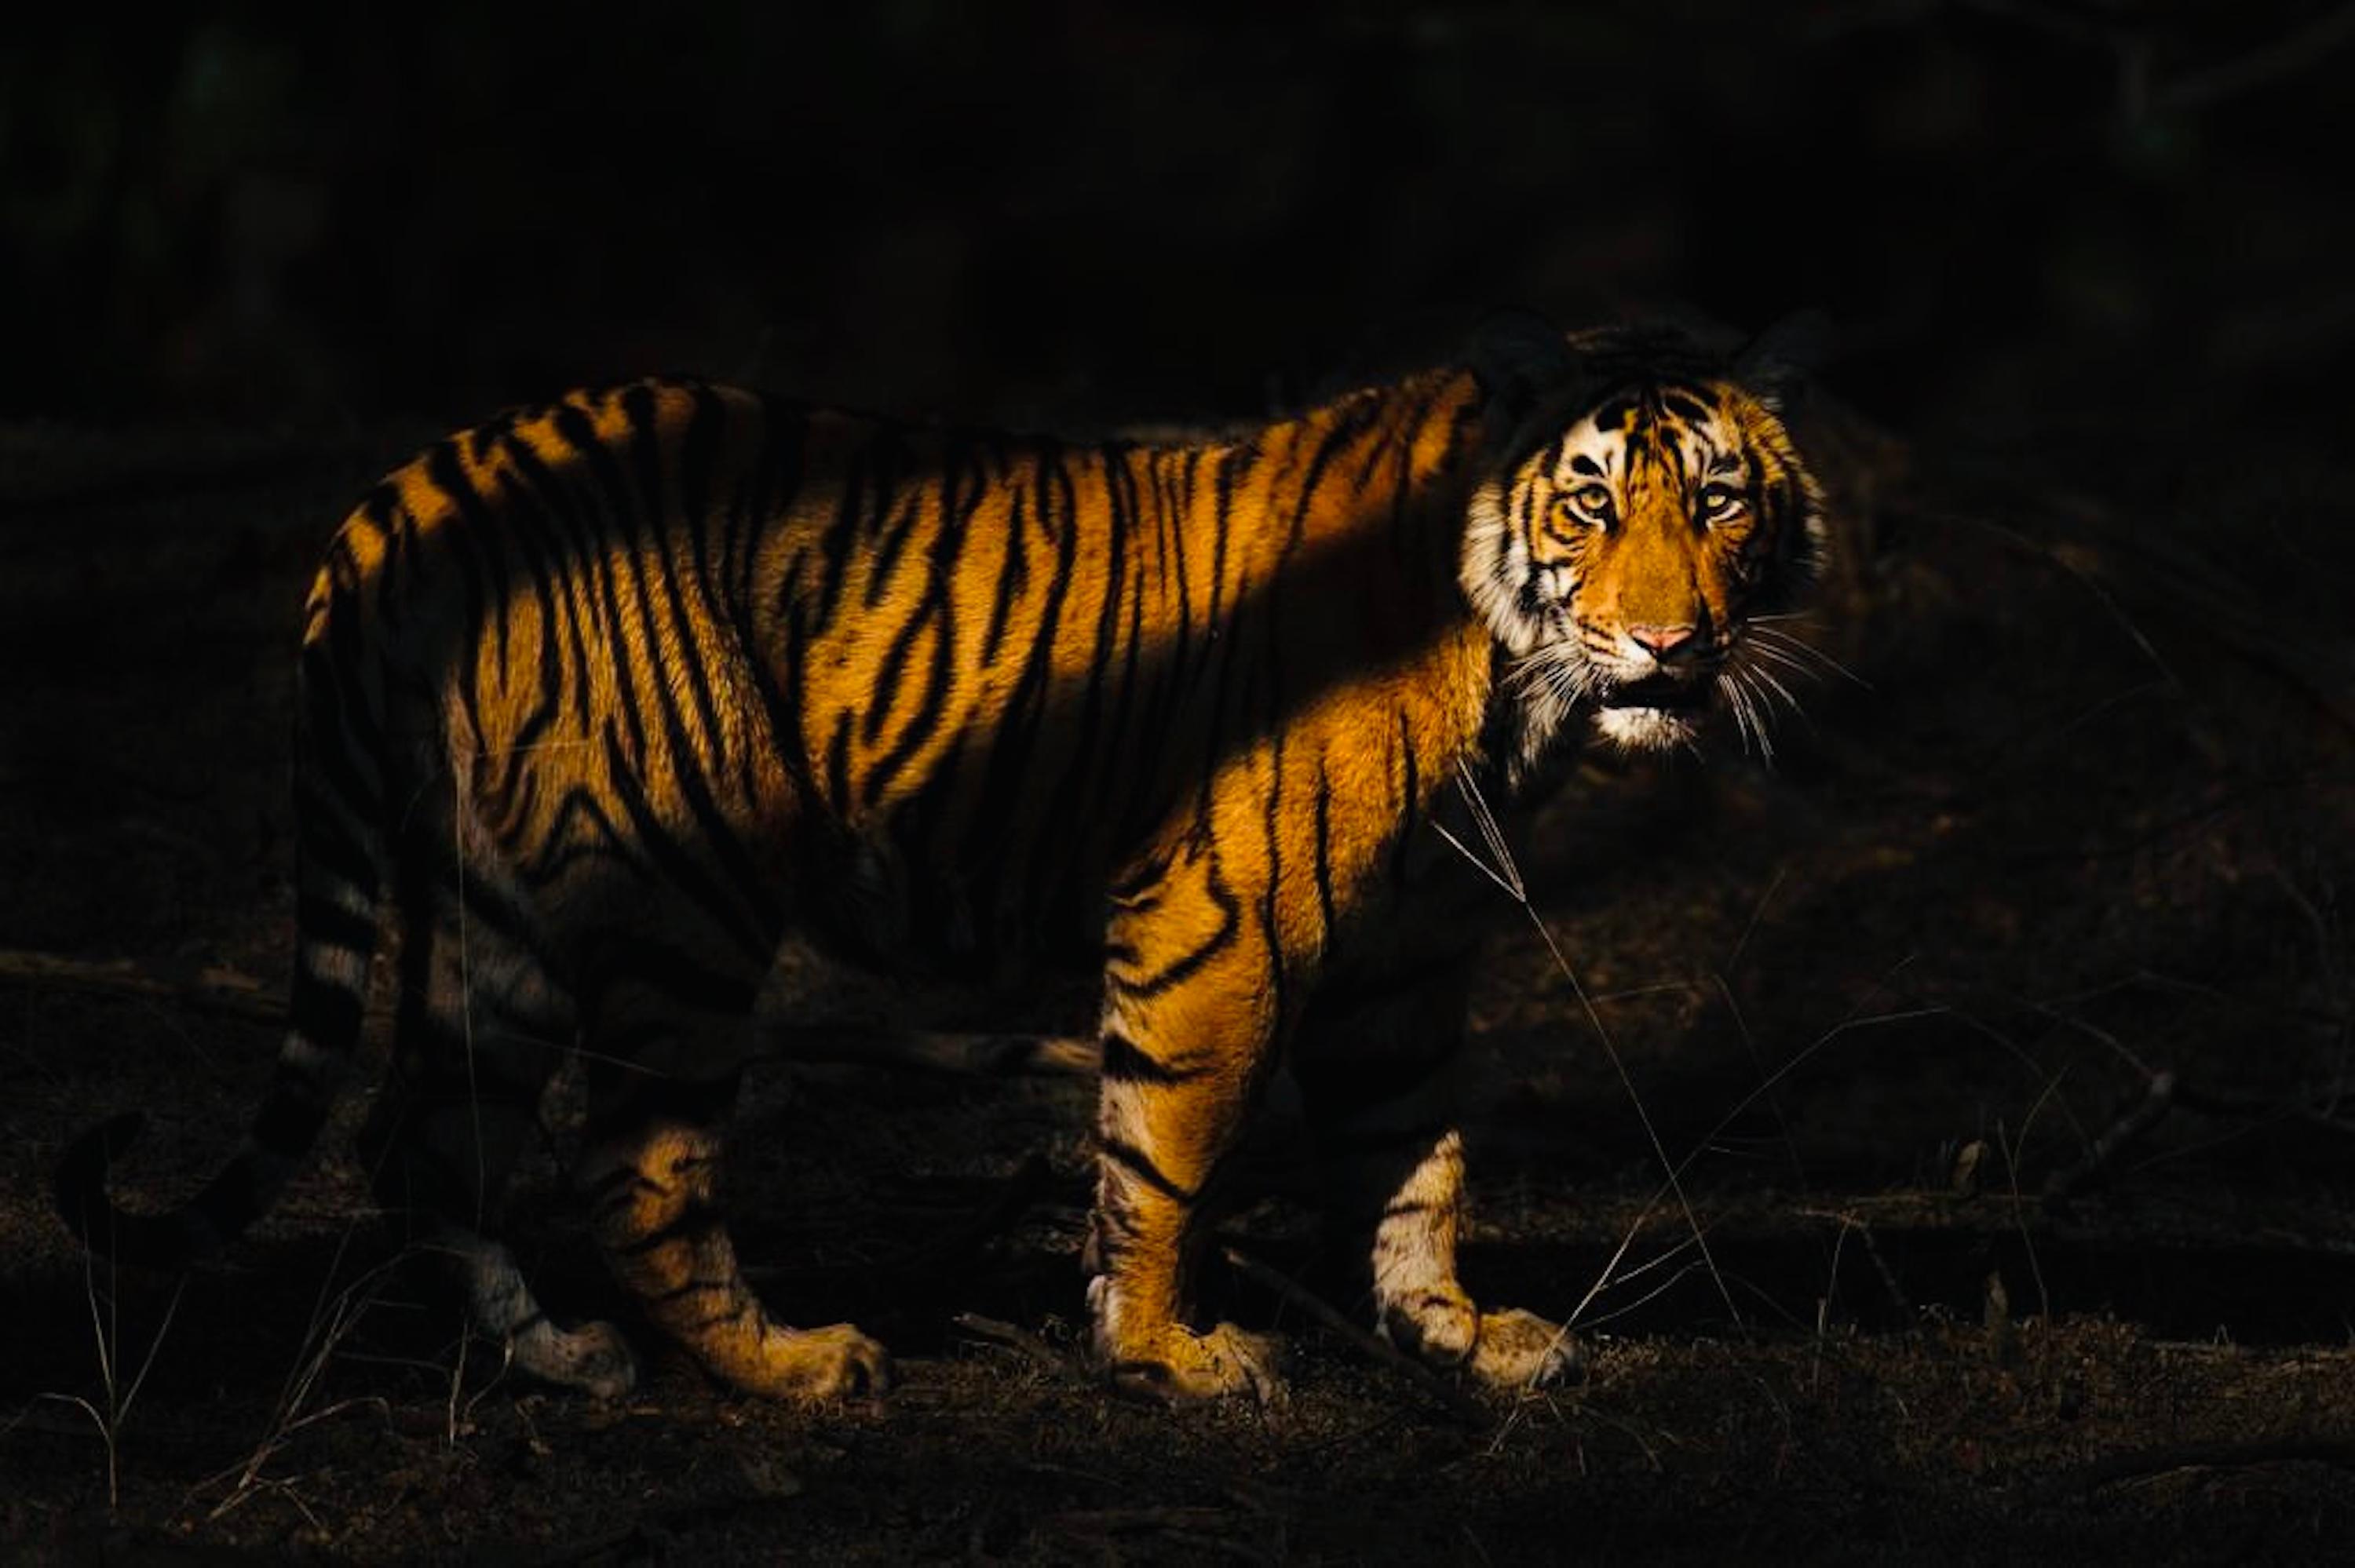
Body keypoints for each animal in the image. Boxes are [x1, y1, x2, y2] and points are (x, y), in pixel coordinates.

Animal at [56, 317, 1826, 1405]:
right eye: (1590, 506)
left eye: (1721, 501)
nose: (1671, 644)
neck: (1519, 697)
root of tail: (422, 479)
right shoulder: (1220, 922)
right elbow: (1166, 1154)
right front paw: (1166, 1352)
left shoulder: (1406, 958)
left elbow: (1415, 1162)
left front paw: (1452, 1331)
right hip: (683, 884)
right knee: (633, 1164)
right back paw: (791, 1366)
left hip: (500, 901)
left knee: (423, 1133)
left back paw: (558, 1357)